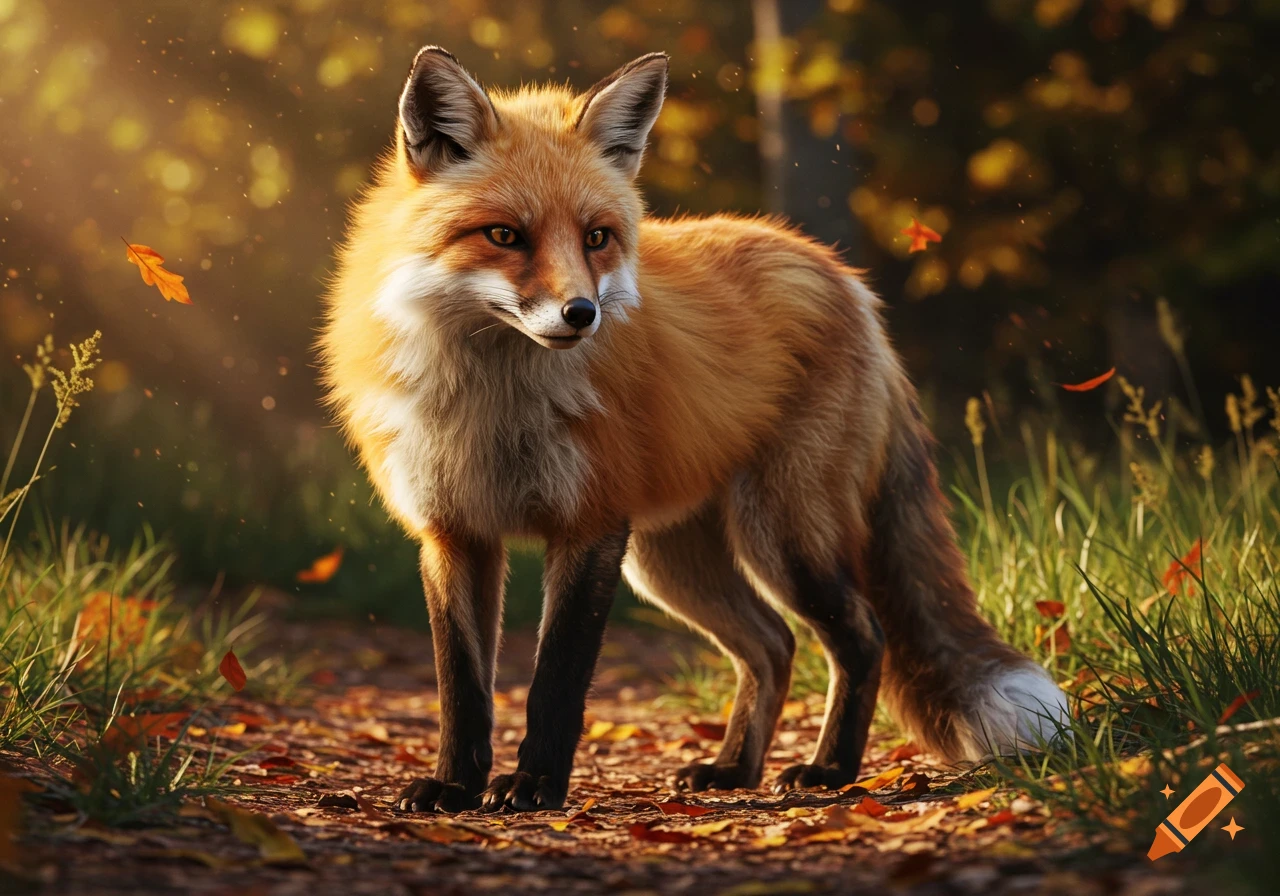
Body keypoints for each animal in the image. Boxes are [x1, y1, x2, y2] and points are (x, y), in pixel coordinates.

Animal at [318, 47, 1069, 813]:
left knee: (863, 635)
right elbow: (462, 688)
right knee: (773, 646)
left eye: (596, 238)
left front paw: (534, 785)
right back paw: (734, 768)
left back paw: (829, 770)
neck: (494, 406)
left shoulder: (590, 526)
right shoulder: (453, 533)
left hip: (781, 538)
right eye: (504, 236)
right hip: (672, 561)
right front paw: (454, 785)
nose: (582, 313)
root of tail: (844, 278)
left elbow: (556, 681)